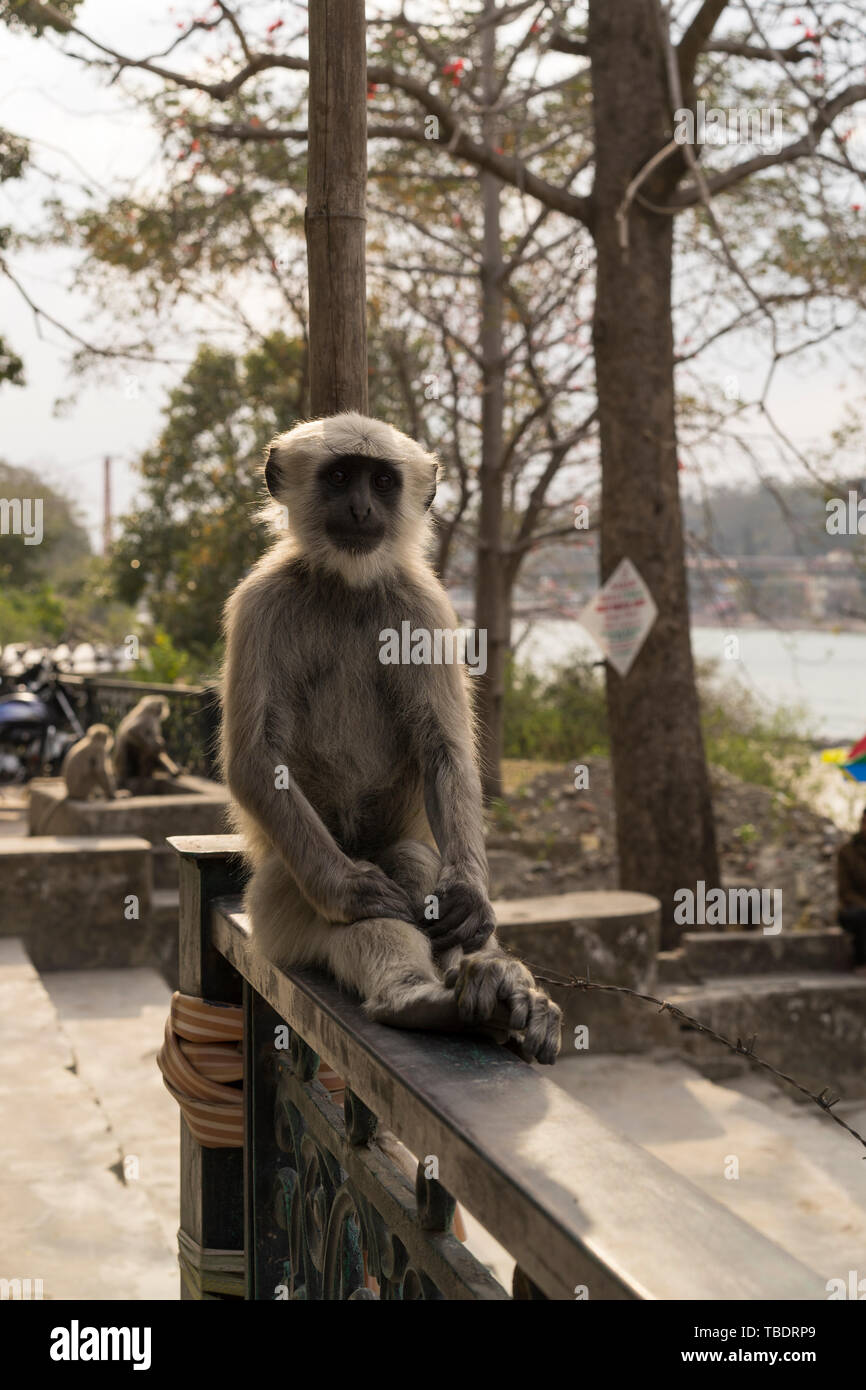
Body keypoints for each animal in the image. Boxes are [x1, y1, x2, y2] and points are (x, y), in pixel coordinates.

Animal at [220, 413, 561, 1064]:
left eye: (381, 481)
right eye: (340, 477)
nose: (360, 509)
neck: (346, 587)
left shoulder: (425, 605)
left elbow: (445, 752)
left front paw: (471, 900)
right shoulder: (260, 601)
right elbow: (254, 761)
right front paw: (352, 891)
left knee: (414, 860)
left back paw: (486, 983)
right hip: (276, 905)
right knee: (354, 914)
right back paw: (414, 998)